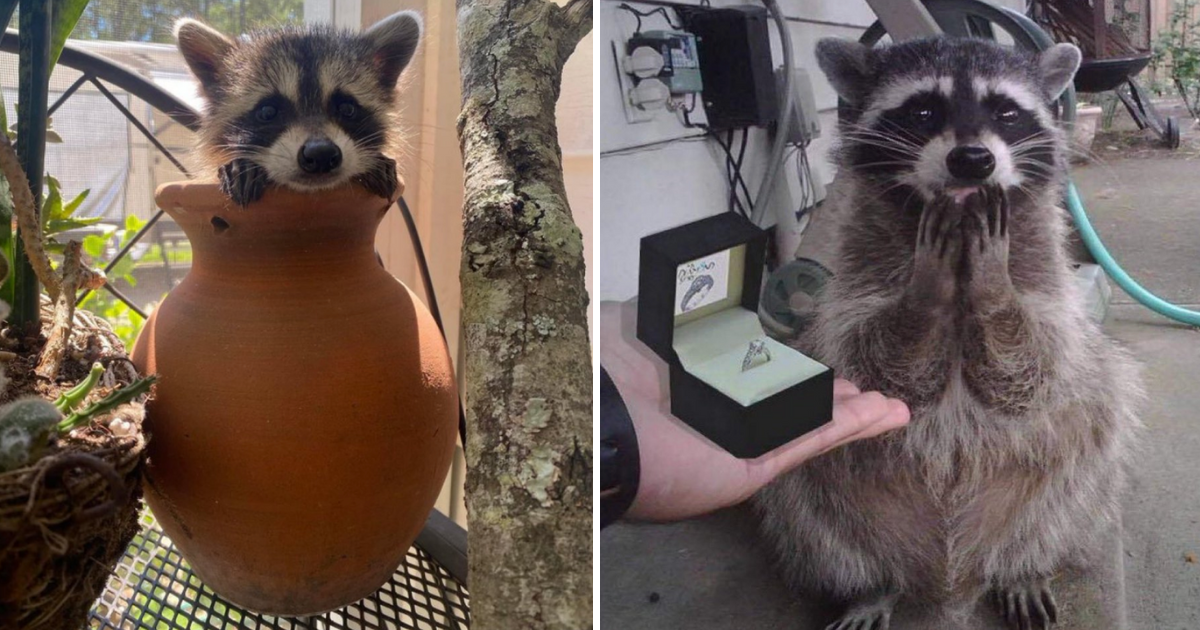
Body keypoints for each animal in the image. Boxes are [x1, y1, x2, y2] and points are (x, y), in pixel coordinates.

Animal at [754, 37, 1143, 630]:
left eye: (1005, 111)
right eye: (923, 111)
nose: (973, 159)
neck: (960, 236)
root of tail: (951, 576)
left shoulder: (1047, 281)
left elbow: (1036, 372)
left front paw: (994, 289)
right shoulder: (853, 287)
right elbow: (879, 372)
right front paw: (926, 293)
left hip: (1064, 487)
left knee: (1082, 464)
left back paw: (1022, 566)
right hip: (832, 508)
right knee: (809, 505)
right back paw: (871, 585)